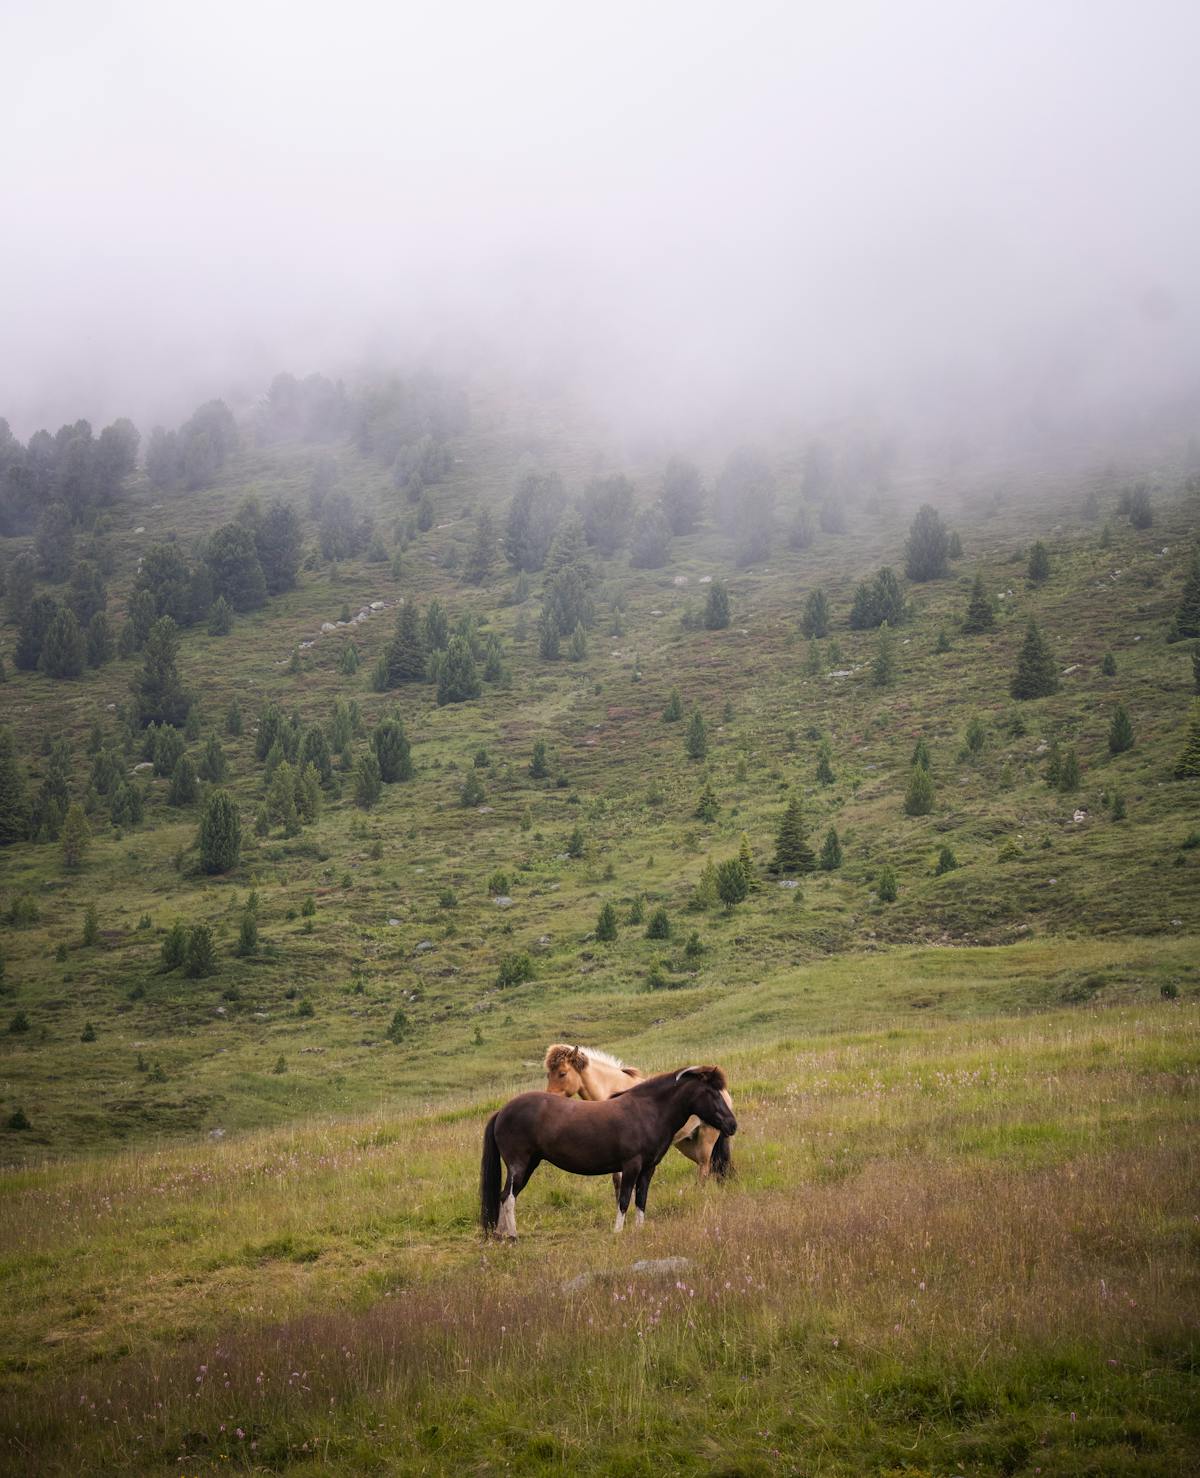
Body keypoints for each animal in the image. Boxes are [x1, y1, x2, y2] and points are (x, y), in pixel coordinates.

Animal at [481, 1066, 737, 1239]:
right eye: (712, 1093)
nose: (732, 1125)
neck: (648, 1112)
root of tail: (502, 1111)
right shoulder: (631, 1166)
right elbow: (624, 1200)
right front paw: (618, 1232)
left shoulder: (648, 1169)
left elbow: (641, 1199)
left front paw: (639, 1230)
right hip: (519, 1164)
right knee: (508, 1197)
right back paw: (513, 1236)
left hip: (530, 1164)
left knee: (504, 1196)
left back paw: (501, 1235)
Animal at [543, 1044, 734, 1180]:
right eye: (548, 1074)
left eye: (562, 1073)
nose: (549, 1098)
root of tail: (724, 1093)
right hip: (687, 1143)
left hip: (706, 1139)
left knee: (704, 1168)